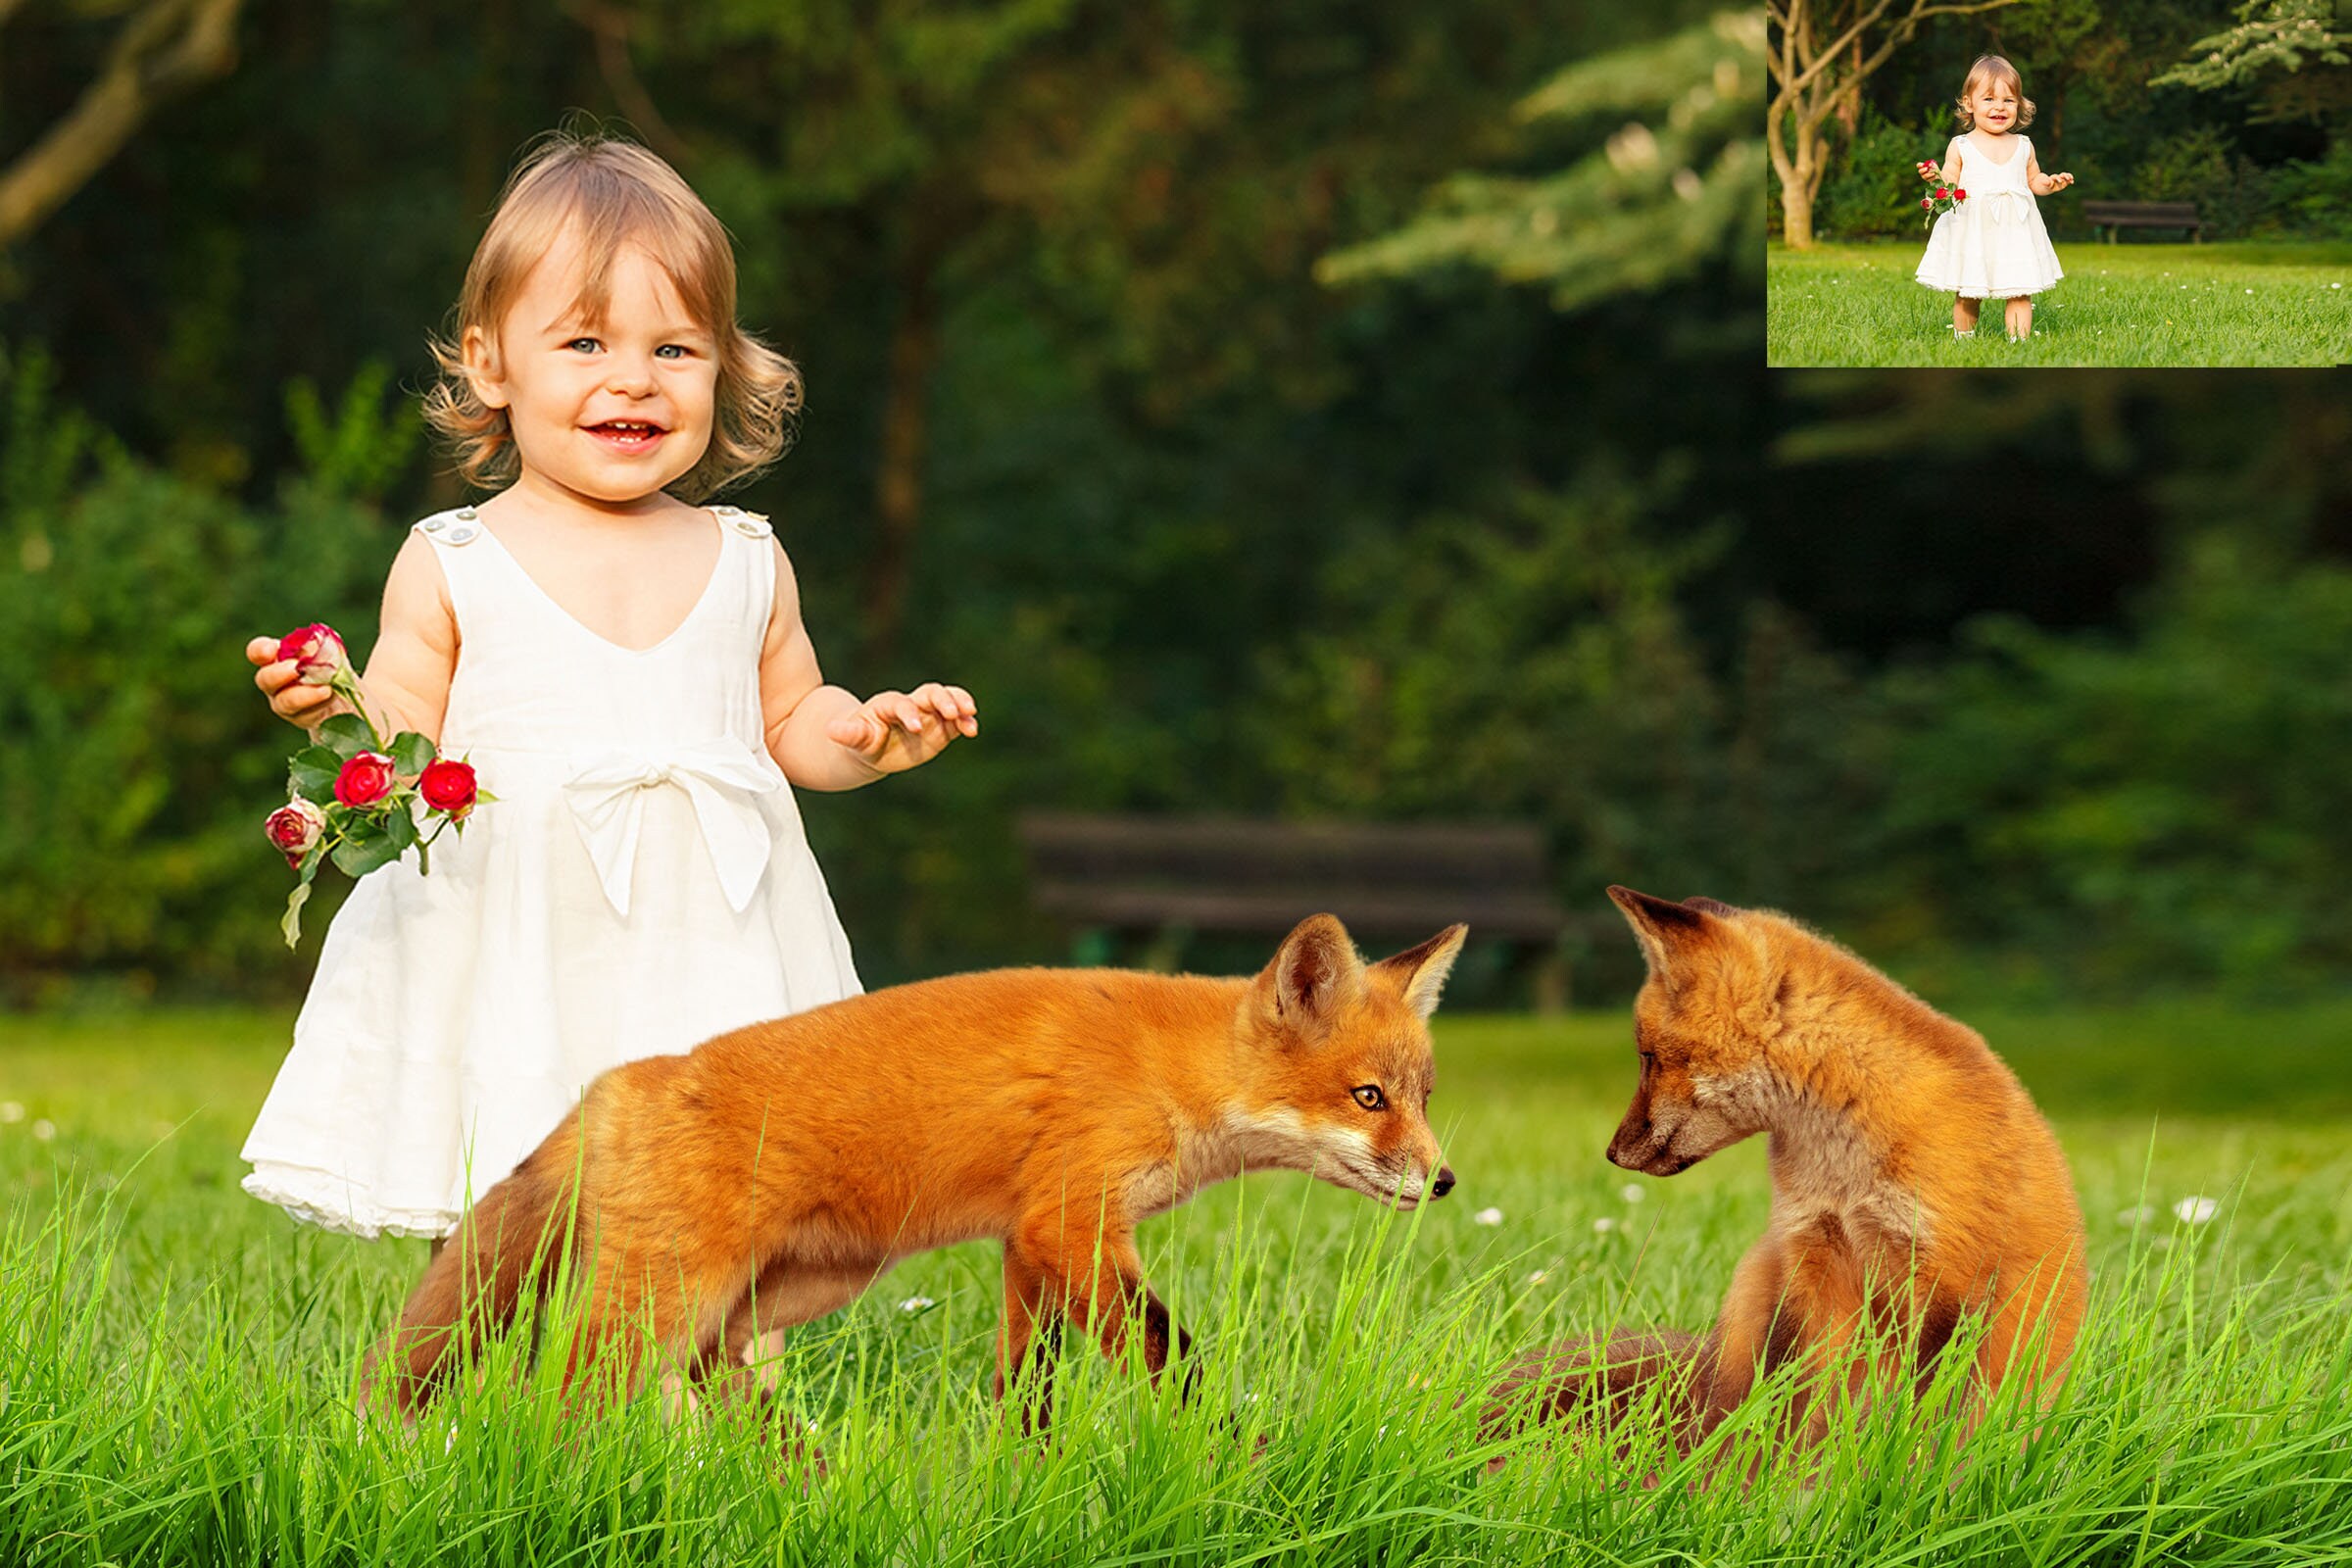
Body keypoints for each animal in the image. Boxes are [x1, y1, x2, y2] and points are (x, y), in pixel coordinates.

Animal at [362, 913, 1465, 1433]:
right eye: (1369, 1098)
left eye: (1422, 1095)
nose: (1446, 1181)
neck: (1169, 1071)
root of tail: (613, 1085)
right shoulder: (1073, 1222)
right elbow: (1175, 1356)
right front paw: (1232, 1451)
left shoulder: (1033, 1243)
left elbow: (1030, 1390)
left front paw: (1022, 1482)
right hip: (664, 1301)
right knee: (566, 1401)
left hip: (781, 1293)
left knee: (711, 1387)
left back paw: (787, 1473)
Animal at [1488, 886, 2085, 1454]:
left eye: (1647, 1058)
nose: (1612, 1153)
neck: (1845, 1167)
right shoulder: (1813, 1254)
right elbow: (1800, 1407)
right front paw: (1779, 1480)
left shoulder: (1949, 1280)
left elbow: (1926, 1419)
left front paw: (1899, 1470)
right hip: (1756, 1278)